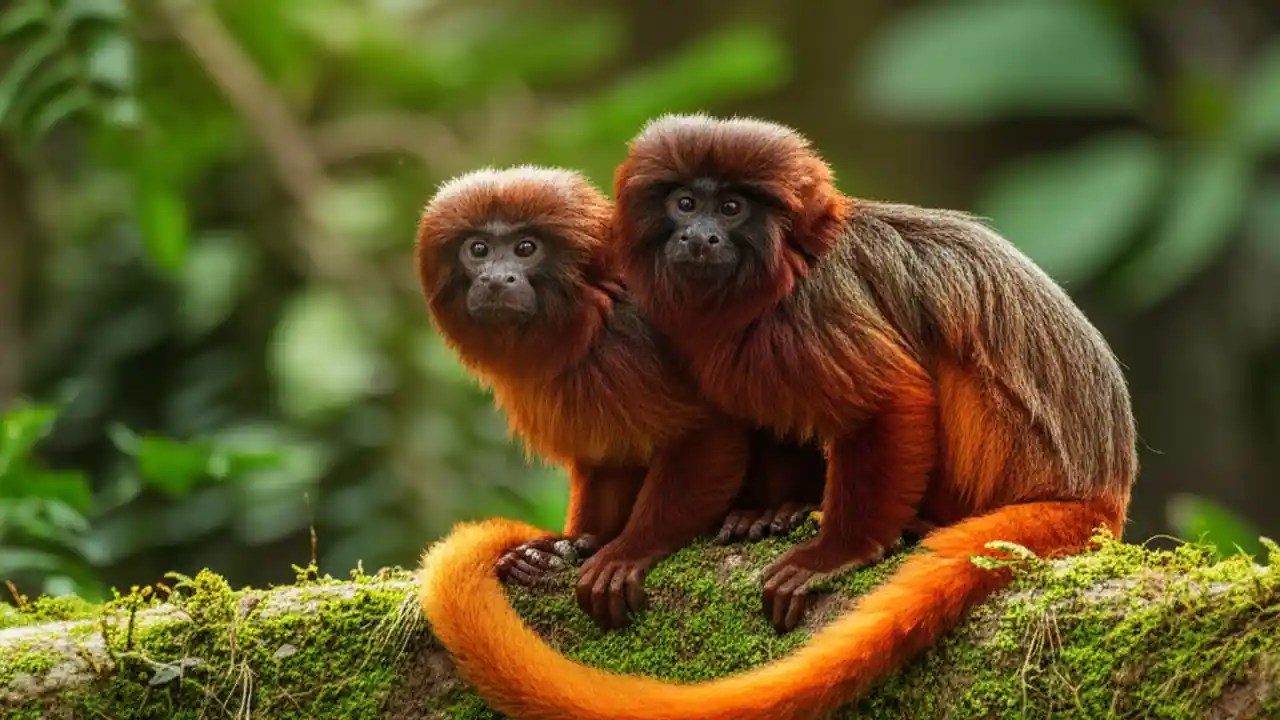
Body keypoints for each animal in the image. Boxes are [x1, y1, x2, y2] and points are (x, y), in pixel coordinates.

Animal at [415, 165, 821, 628]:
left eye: (525, 248)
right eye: (478, 249)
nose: (498, 279)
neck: (588, 318)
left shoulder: (633, 340)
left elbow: (704, 429)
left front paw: (626, 552)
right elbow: (609, 459)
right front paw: (557, 549)